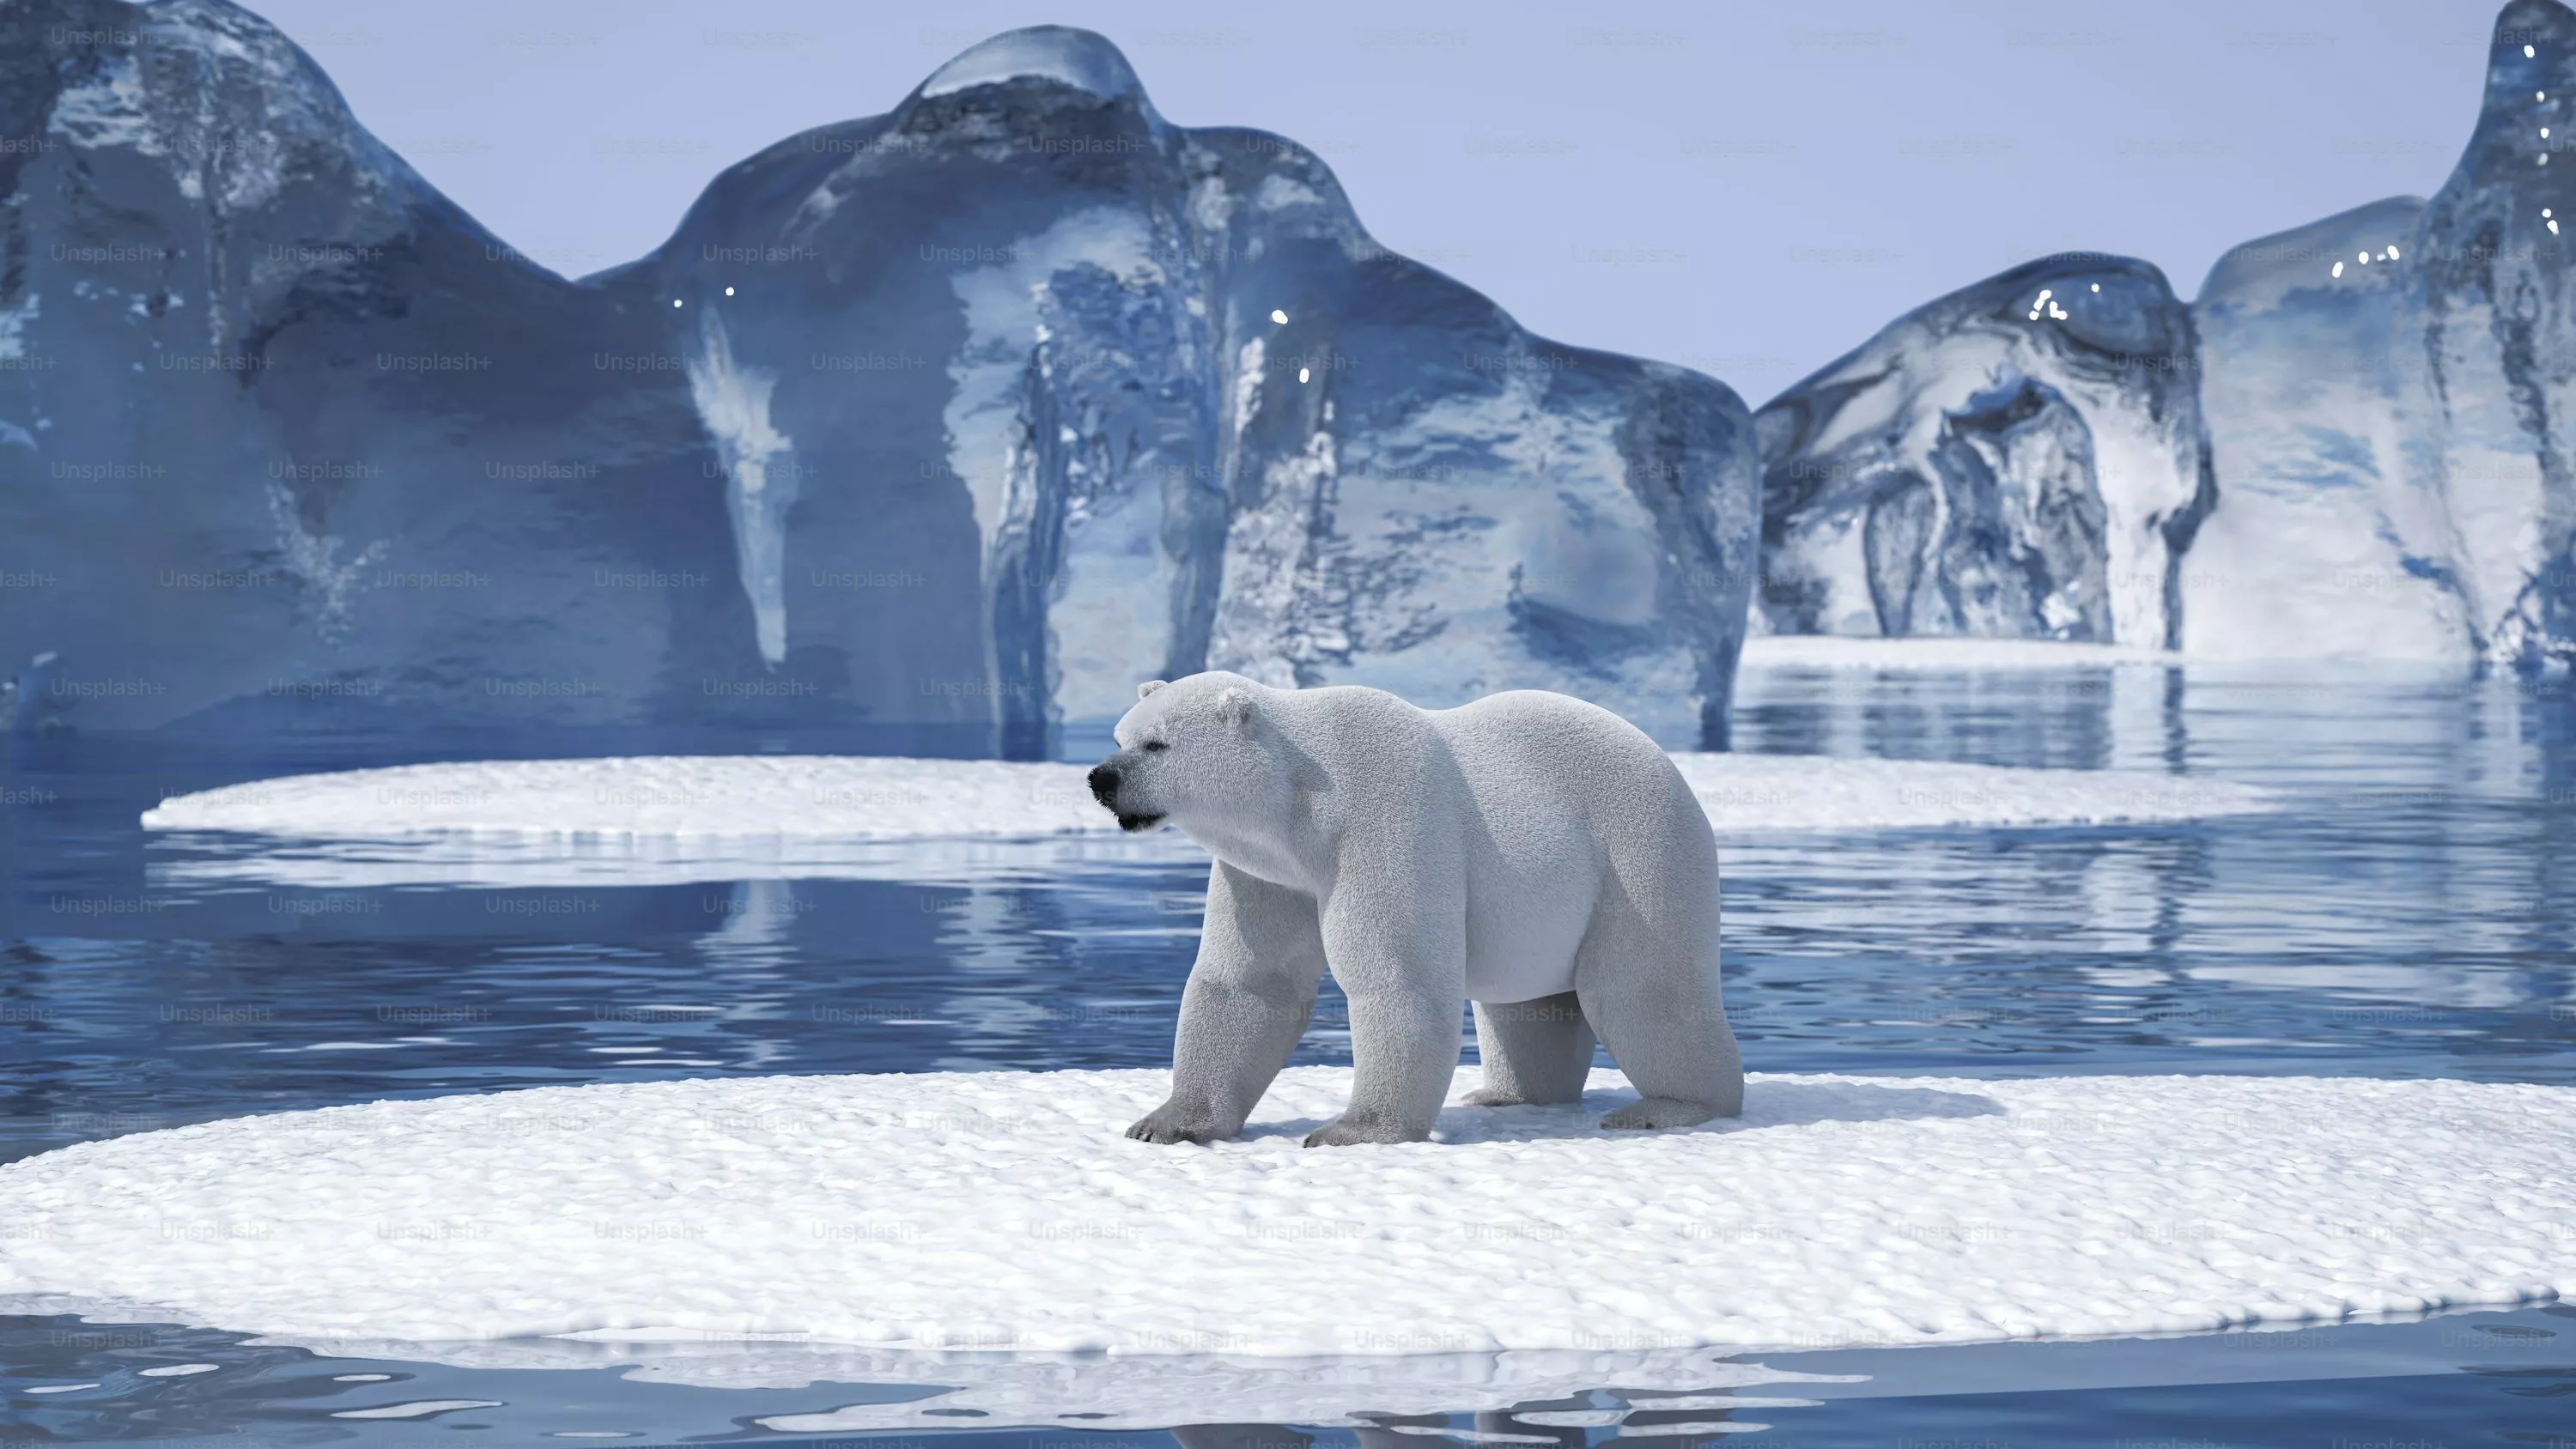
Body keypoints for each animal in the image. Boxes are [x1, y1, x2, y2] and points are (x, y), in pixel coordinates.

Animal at [1087, 670, 1743, 1147]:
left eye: (1156, 743)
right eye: (1121, 737)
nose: (1100, 778)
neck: (1307, 804)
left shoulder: (1387, 820)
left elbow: (1396, 975)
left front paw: (1351, 1131)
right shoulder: (1267, 874)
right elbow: (1249, 980)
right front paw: (1165, 1123)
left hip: (1636, 853)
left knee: (1641, 990)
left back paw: (1673, 1105)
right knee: (1529, 1002)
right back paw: (1506, 1094)